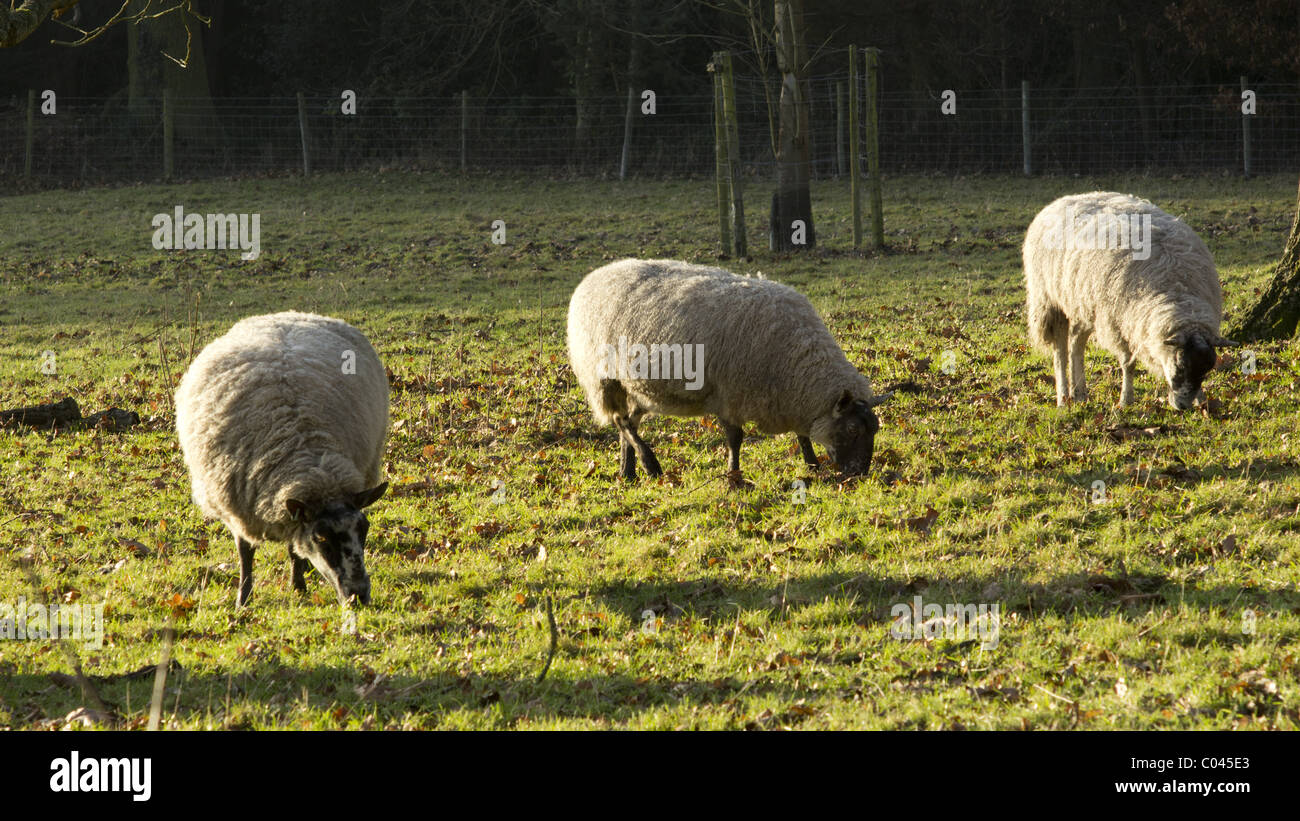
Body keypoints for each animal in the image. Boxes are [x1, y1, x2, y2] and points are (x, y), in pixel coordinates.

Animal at [175, 311, 389, 607]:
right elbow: (245, 553)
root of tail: (289, 314)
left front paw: (298, 585)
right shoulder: (239, 509)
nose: (358, 594)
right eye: (321, 536)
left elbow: (295, 549)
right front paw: (243, 598)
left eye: (364, 528)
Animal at [566, 258, 890, 481]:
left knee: (628, 423)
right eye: (852, 429)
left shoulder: (789, 400)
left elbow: (802, 435)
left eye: (874, 429)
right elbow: (736, 439)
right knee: (620, 421)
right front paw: (734, 474)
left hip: (639, 387)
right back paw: (650, 464)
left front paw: (811, 463)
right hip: (604, 378)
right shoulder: (729, 394)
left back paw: (629, 471)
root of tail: (595, 275)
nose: (860, 473)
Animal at [1023, 191, 1237, 410]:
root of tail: (1066, 198)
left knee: (1076, 342)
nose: (1183, 406)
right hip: (1049, 301)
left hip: (1083, 301)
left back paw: (1079, 393)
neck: (1177, 288)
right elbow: (1128, 363)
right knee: (1060, 351)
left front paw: (1202, 400)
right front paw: (1126, 400)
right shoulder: (1119, 325)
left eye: (1206, 370)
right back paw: (1063, 397)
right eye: (1180, 367)